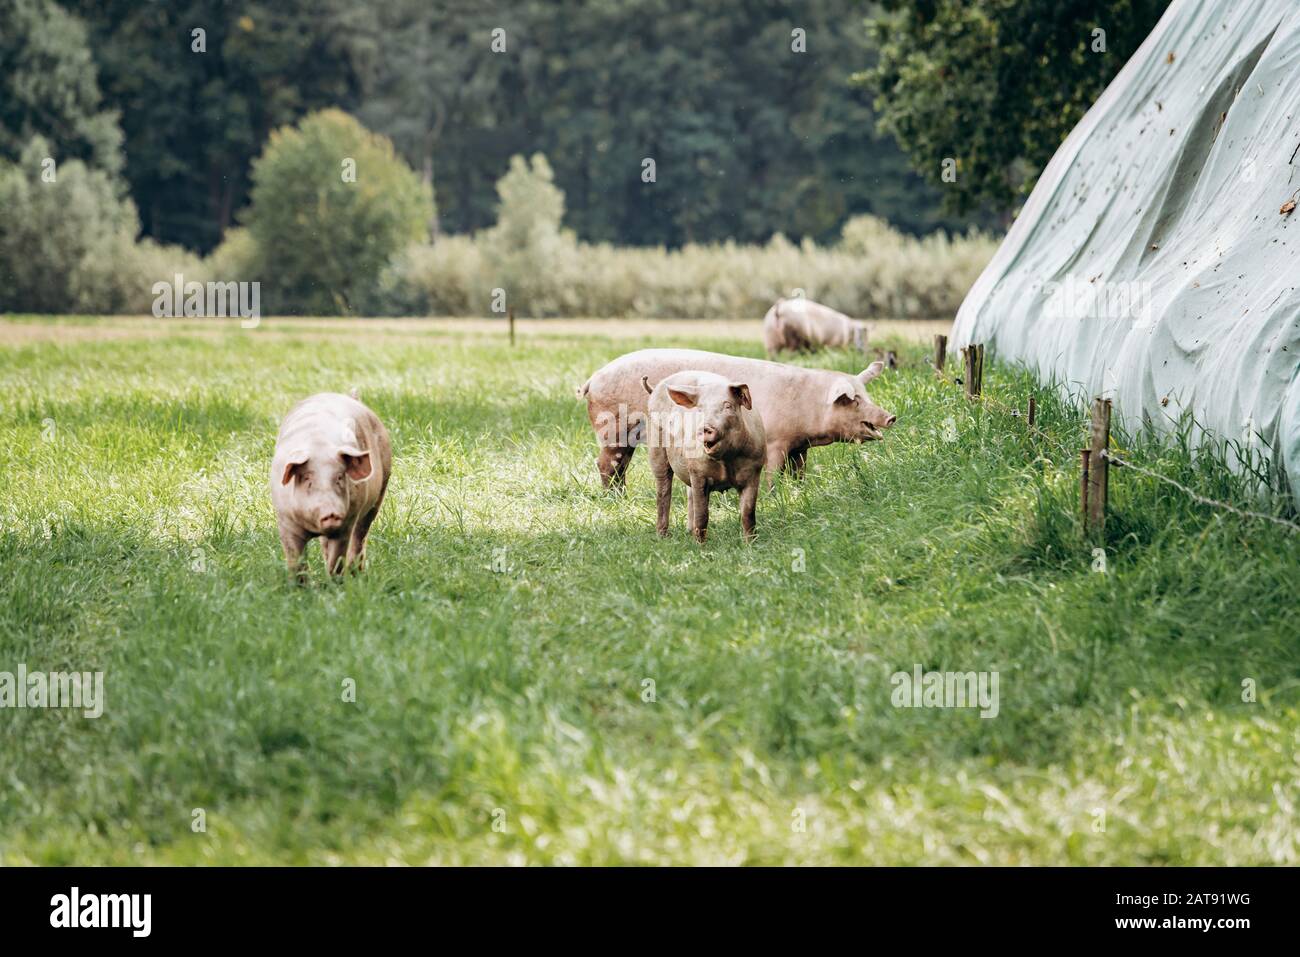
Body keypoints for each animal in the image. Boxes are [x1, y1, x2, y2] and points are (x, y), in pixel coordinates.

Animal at [269, 391, 392, 578]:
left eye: (340, 477)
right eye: (307, 479)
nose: (331, 513)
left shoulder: (346, 523)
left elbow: (337, 561)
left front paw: (334, 581)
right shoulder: (285, 520)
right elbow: (296, 561)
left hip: (381, 489)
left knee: (360, 534)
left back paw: (356, 573)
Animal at [578, 348, 896, 488]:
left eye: (866, 394)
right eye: (853, 400)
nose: (890, 416)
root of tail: (592, 380)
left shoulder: (799, 447)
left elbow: (798, 472)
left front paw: (798, 490)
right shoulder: (775, 442)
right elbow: (773, 472)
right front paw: (773, 494)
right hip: (614, 428)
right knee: (606, 465)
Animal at [642, 371, 765, 543]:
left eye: (727, 405)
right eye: (700, 409)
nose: (706, 427)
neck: (726, 460)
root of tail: (655, 389)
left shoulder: (754, 470)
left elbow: (748, 513)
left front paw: (750, 543)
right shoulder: (698, 472)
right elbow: (702, 515)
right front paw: (700, 546)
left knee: (689, 495)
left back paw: (688, 531)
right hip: (656, 449)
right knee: (663, 491)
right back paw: (663, 537)